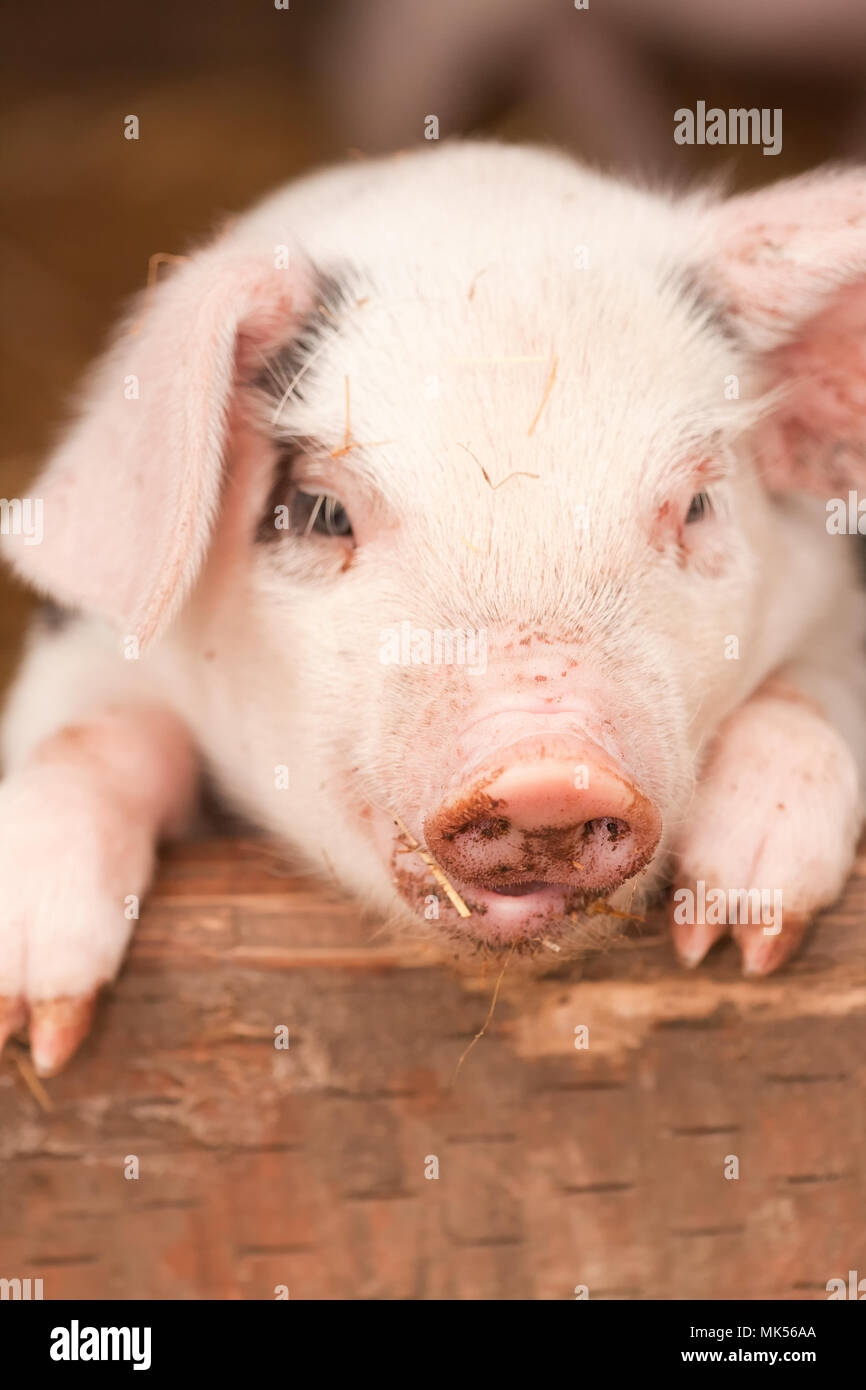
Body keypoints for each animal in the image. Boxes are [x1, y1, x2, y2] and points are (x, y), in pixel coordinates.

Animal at [2, 141, 866, 1077]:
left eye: (699, 505)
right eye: (319, 510)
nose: (546, 769)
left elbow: (814, 689)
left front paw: (740, 927)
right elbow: (93, 737)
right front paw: (36, 1024)